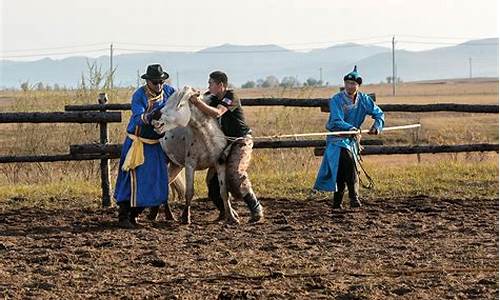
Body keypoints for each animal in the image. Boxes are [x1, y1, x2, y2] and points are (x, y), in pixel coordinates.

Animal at [151, 85, 239, 224]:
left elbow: (224, 192)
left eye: (180, 105)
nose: (156, 122)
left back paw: (166, 215)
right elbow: (189, 192)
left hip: (176, 166)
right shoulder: (190, 166)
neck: (206, 136)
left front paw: (231, 216)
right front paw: (185, 217)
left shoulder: (220, 163)